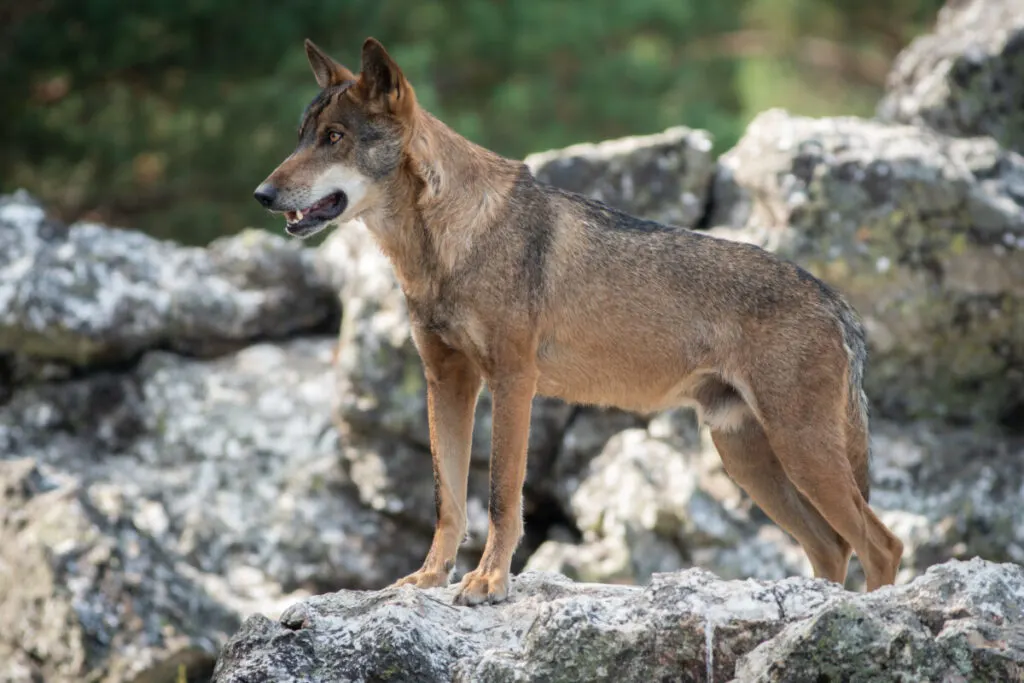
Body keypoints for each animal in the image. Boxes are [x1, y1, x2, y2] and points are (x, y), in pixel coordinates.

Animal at [254, 37, 904, 605]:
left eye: (335, 138)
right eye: (301, 137)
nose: (262, 194)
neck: (448, 244)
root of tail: (837, 303)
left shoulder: (512, 382)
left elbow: (500, 497)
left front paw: (488, 583)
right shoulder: (447, 382)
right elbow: (448, 500)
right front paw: (429, 579)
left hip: (799, 453)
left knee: (882, 544)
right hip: (751, 461)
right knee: (831, 547)